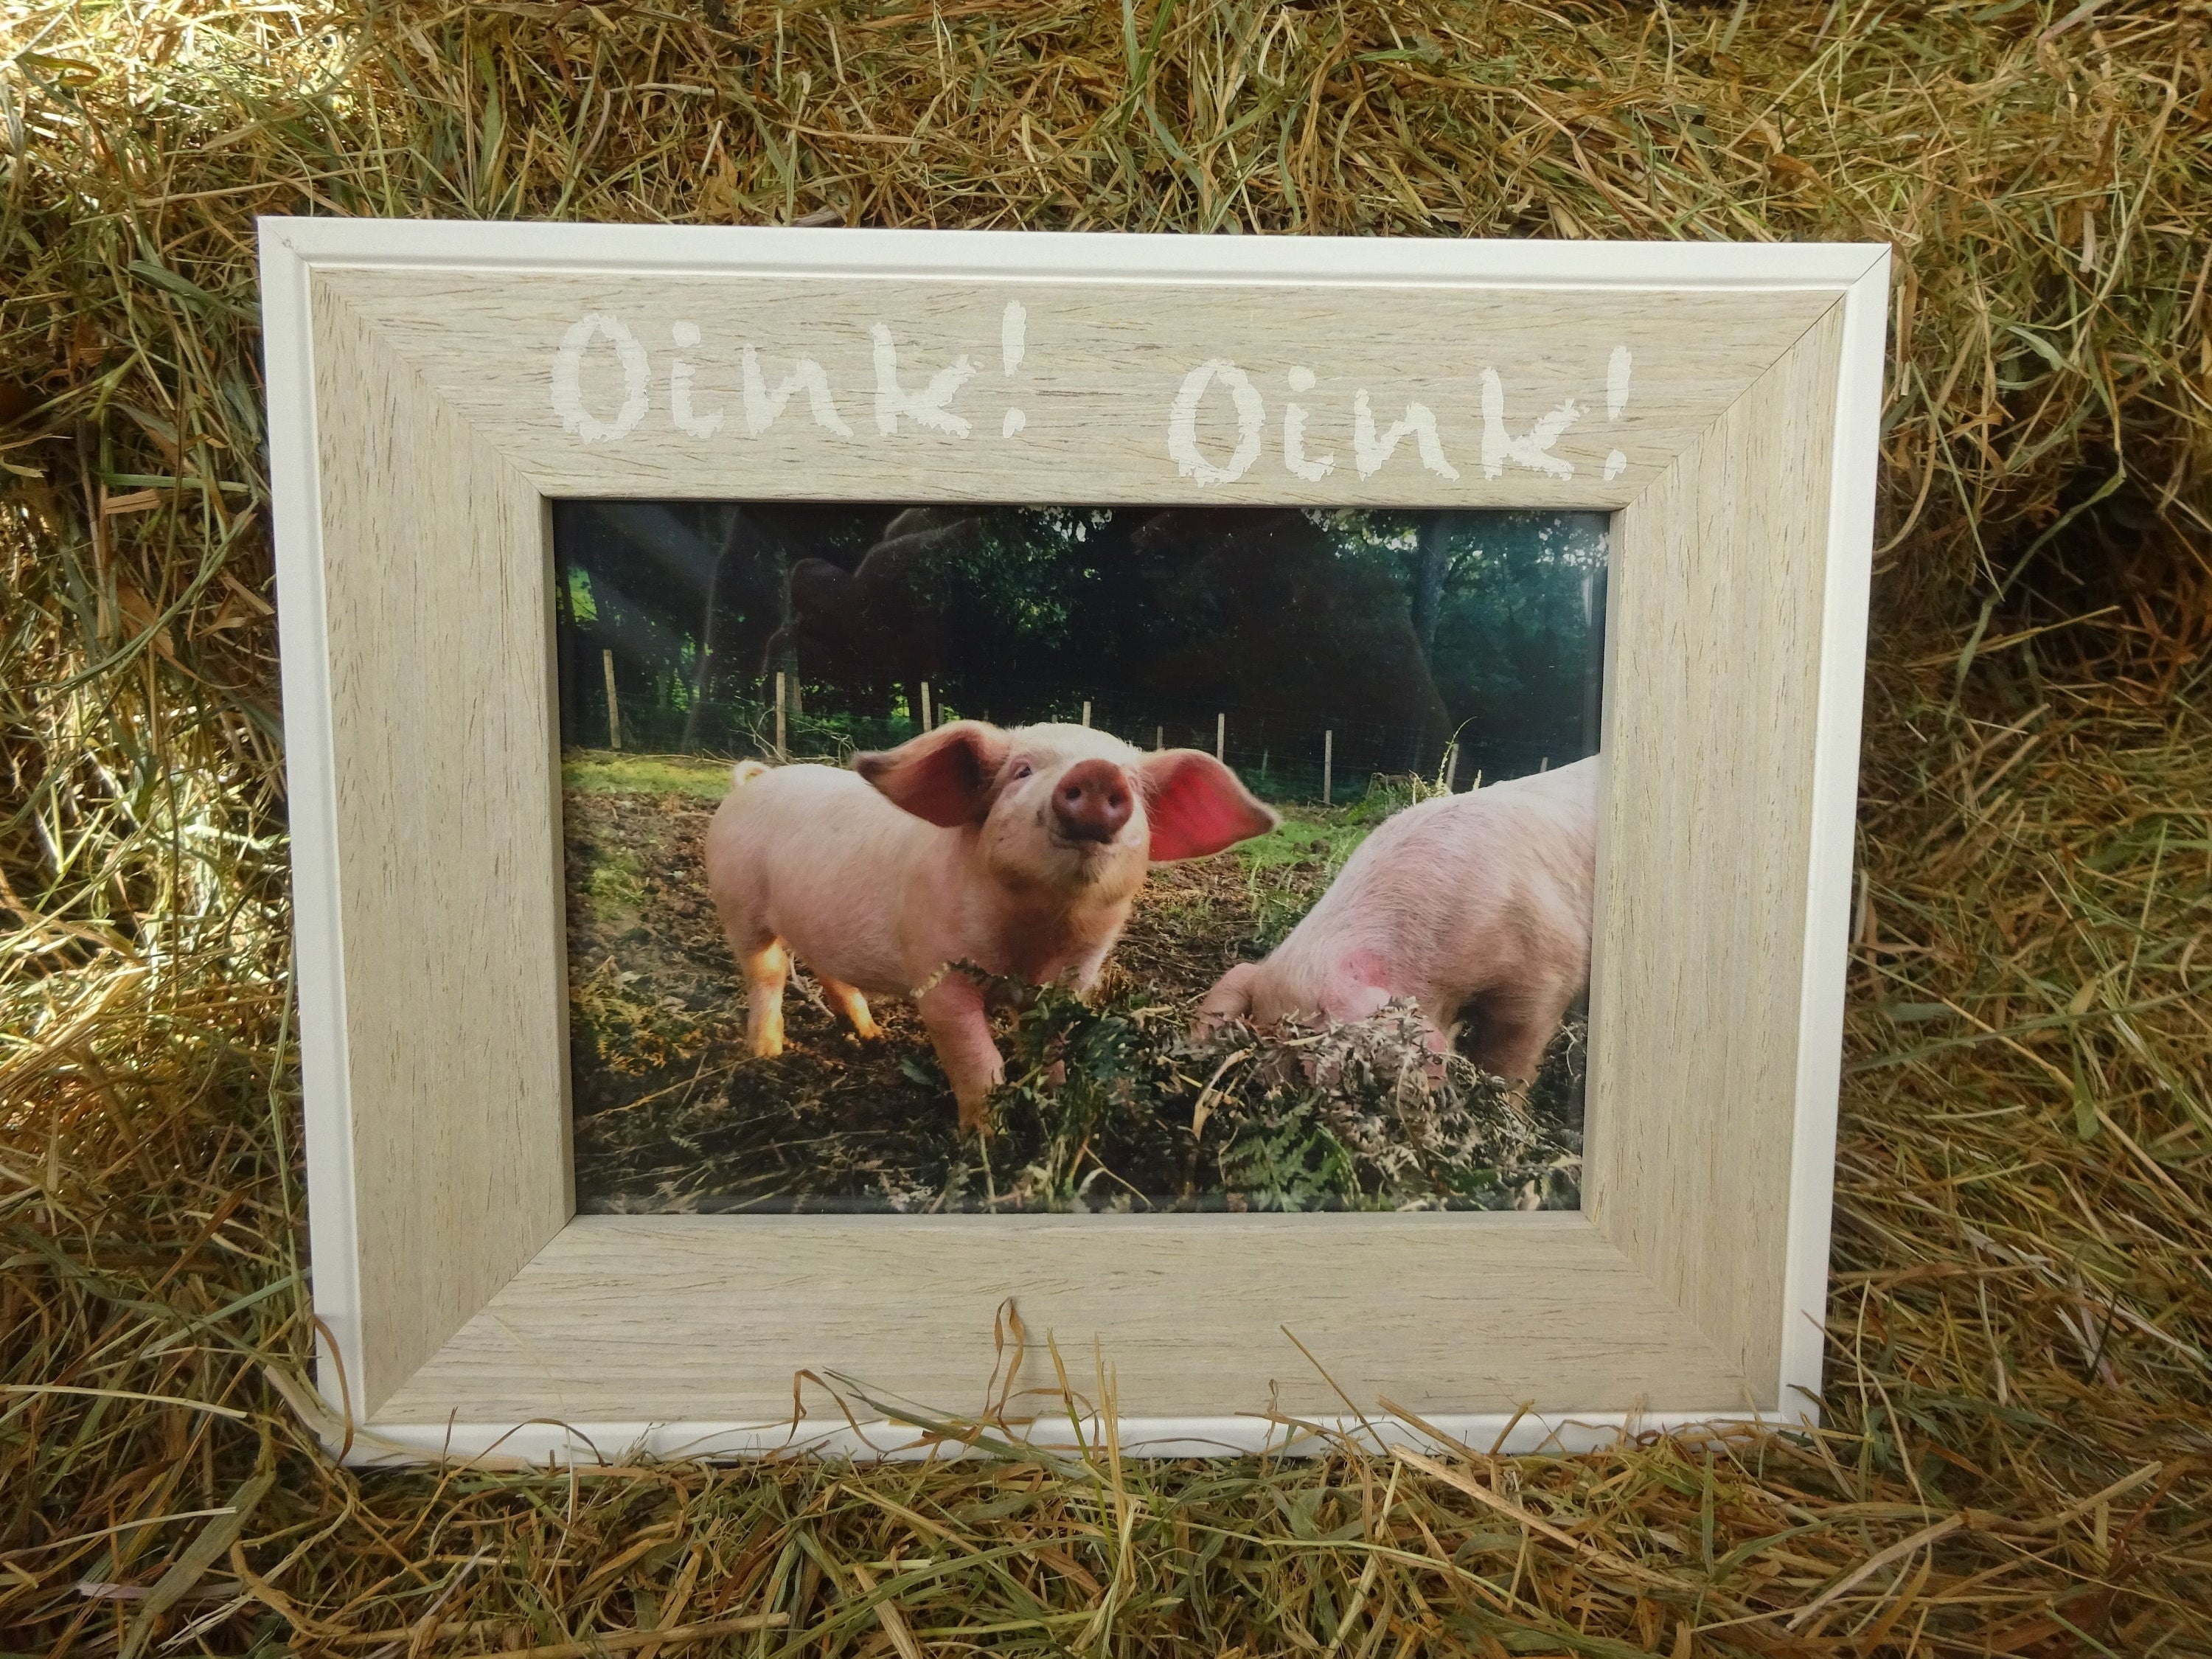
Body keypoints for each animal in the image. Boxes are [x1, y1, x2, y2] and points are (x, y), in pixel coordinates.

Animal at [705, 721, 1278, 1133]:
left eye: (1134, 783)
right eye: (1021, 771)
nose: (1098, 774)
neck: (1037, 936)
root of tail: (752, 782)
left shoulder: (1072, 982)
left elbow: (1049, 1047)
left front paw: (1051, 1102)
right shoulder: (938, 973)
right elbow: (978, 1059)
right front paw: (988, 1139)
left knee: (829, 972)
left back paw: (872, 1036)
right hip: (737, 902)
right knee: (766, 972)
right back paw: (767, 1054)